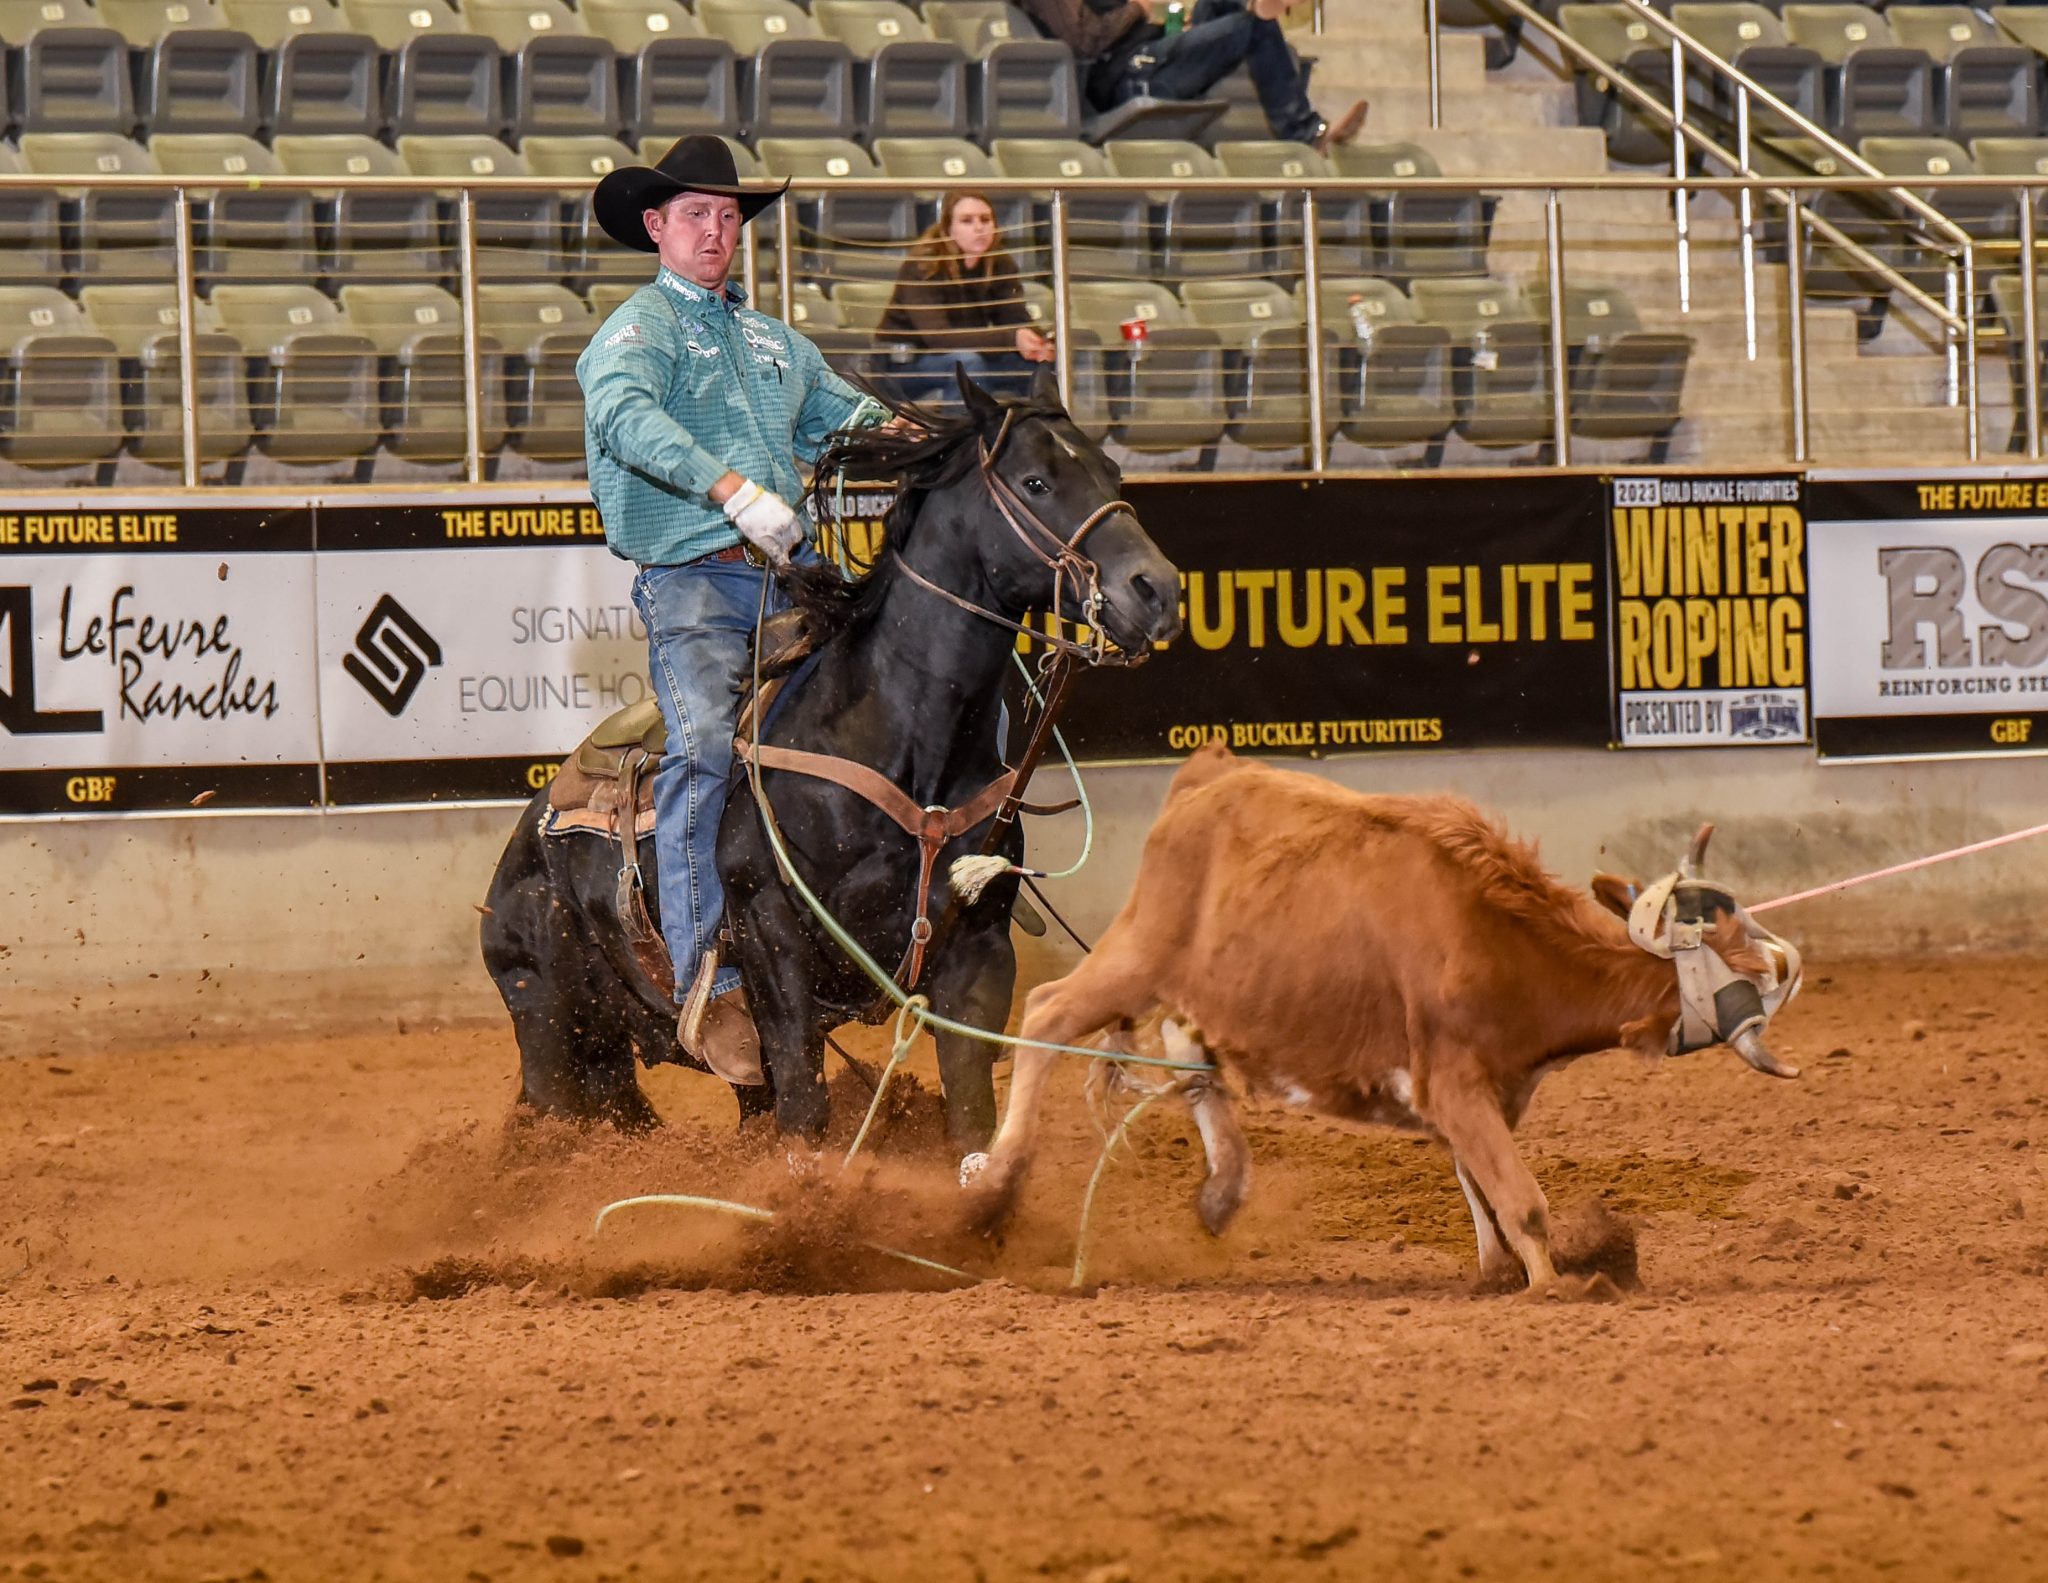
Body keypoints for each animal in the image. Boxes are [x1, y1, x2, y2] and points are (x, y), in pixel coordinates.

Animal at [480, 369, 1182, 1157]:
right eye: (1036, 480)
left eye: (1113, 472)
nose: (1158, 590)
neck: (896, 741)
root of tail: (524, 841)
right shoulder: (773, 945)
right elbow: (805, 1113)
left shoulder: (979, 951)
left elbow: (971, 1115)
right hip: (551, 1029)